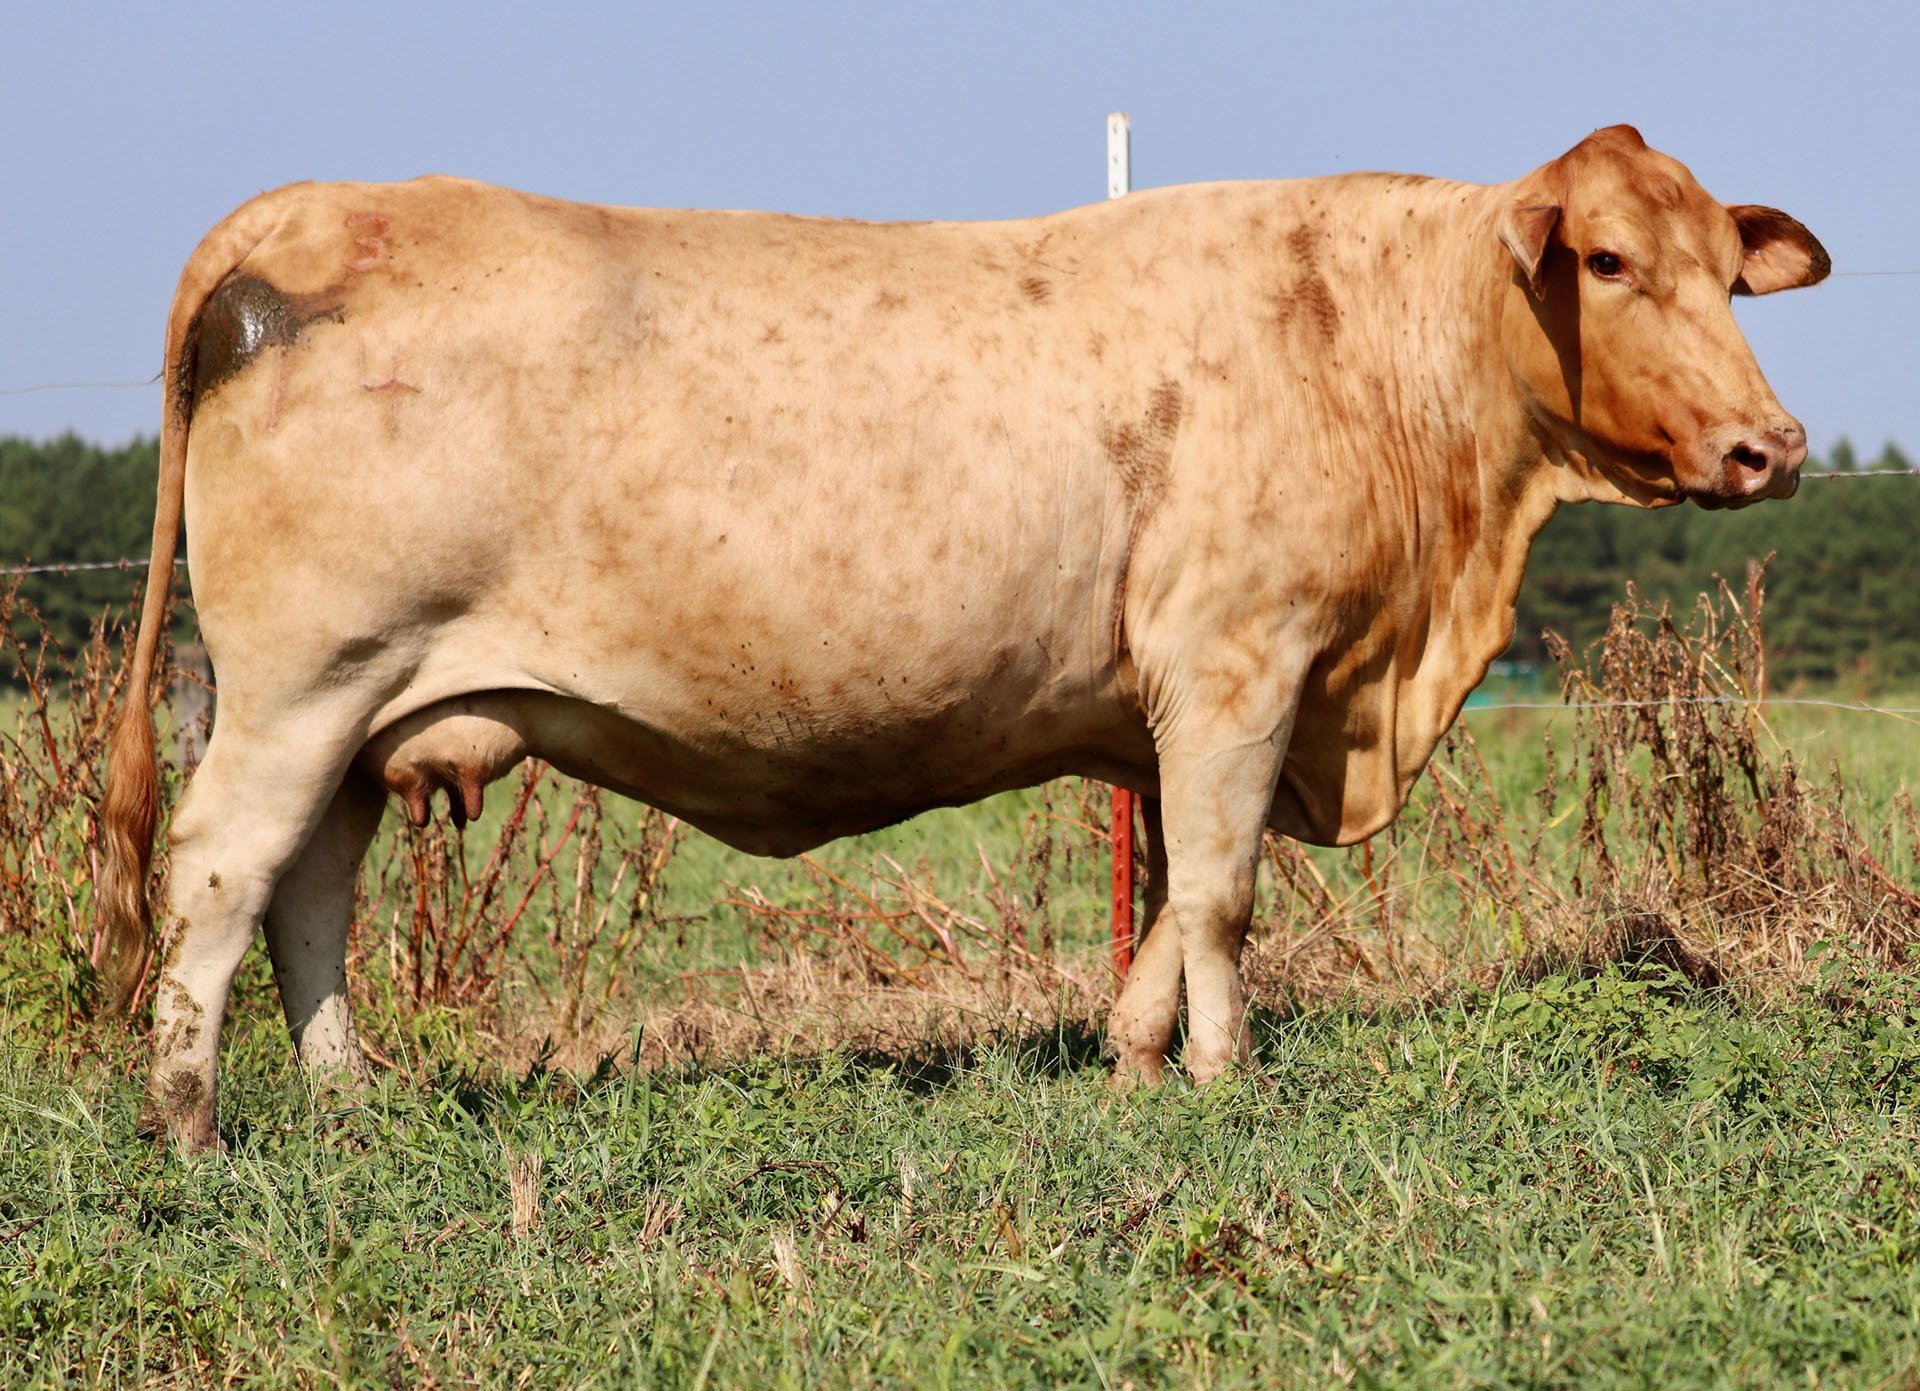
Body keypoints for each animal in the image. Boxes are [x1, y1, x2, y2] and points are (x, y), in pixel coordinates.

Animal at [95, 125, 1827, 1150]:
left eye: (1730, 272)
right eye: (1608, 260)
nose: (1770, 445)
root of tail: (305, 209)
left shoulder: (1195, 700)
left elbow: (1171, 893)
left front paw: (1134, 1061)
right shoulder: (1241, 661)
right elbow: (1223, 890)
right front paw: (1226, 1075)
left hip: (366, 712)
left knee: (314, 888)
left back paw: (349, 1096)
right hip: (302, 683)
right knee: (223, 873)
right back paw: (189, 1116)